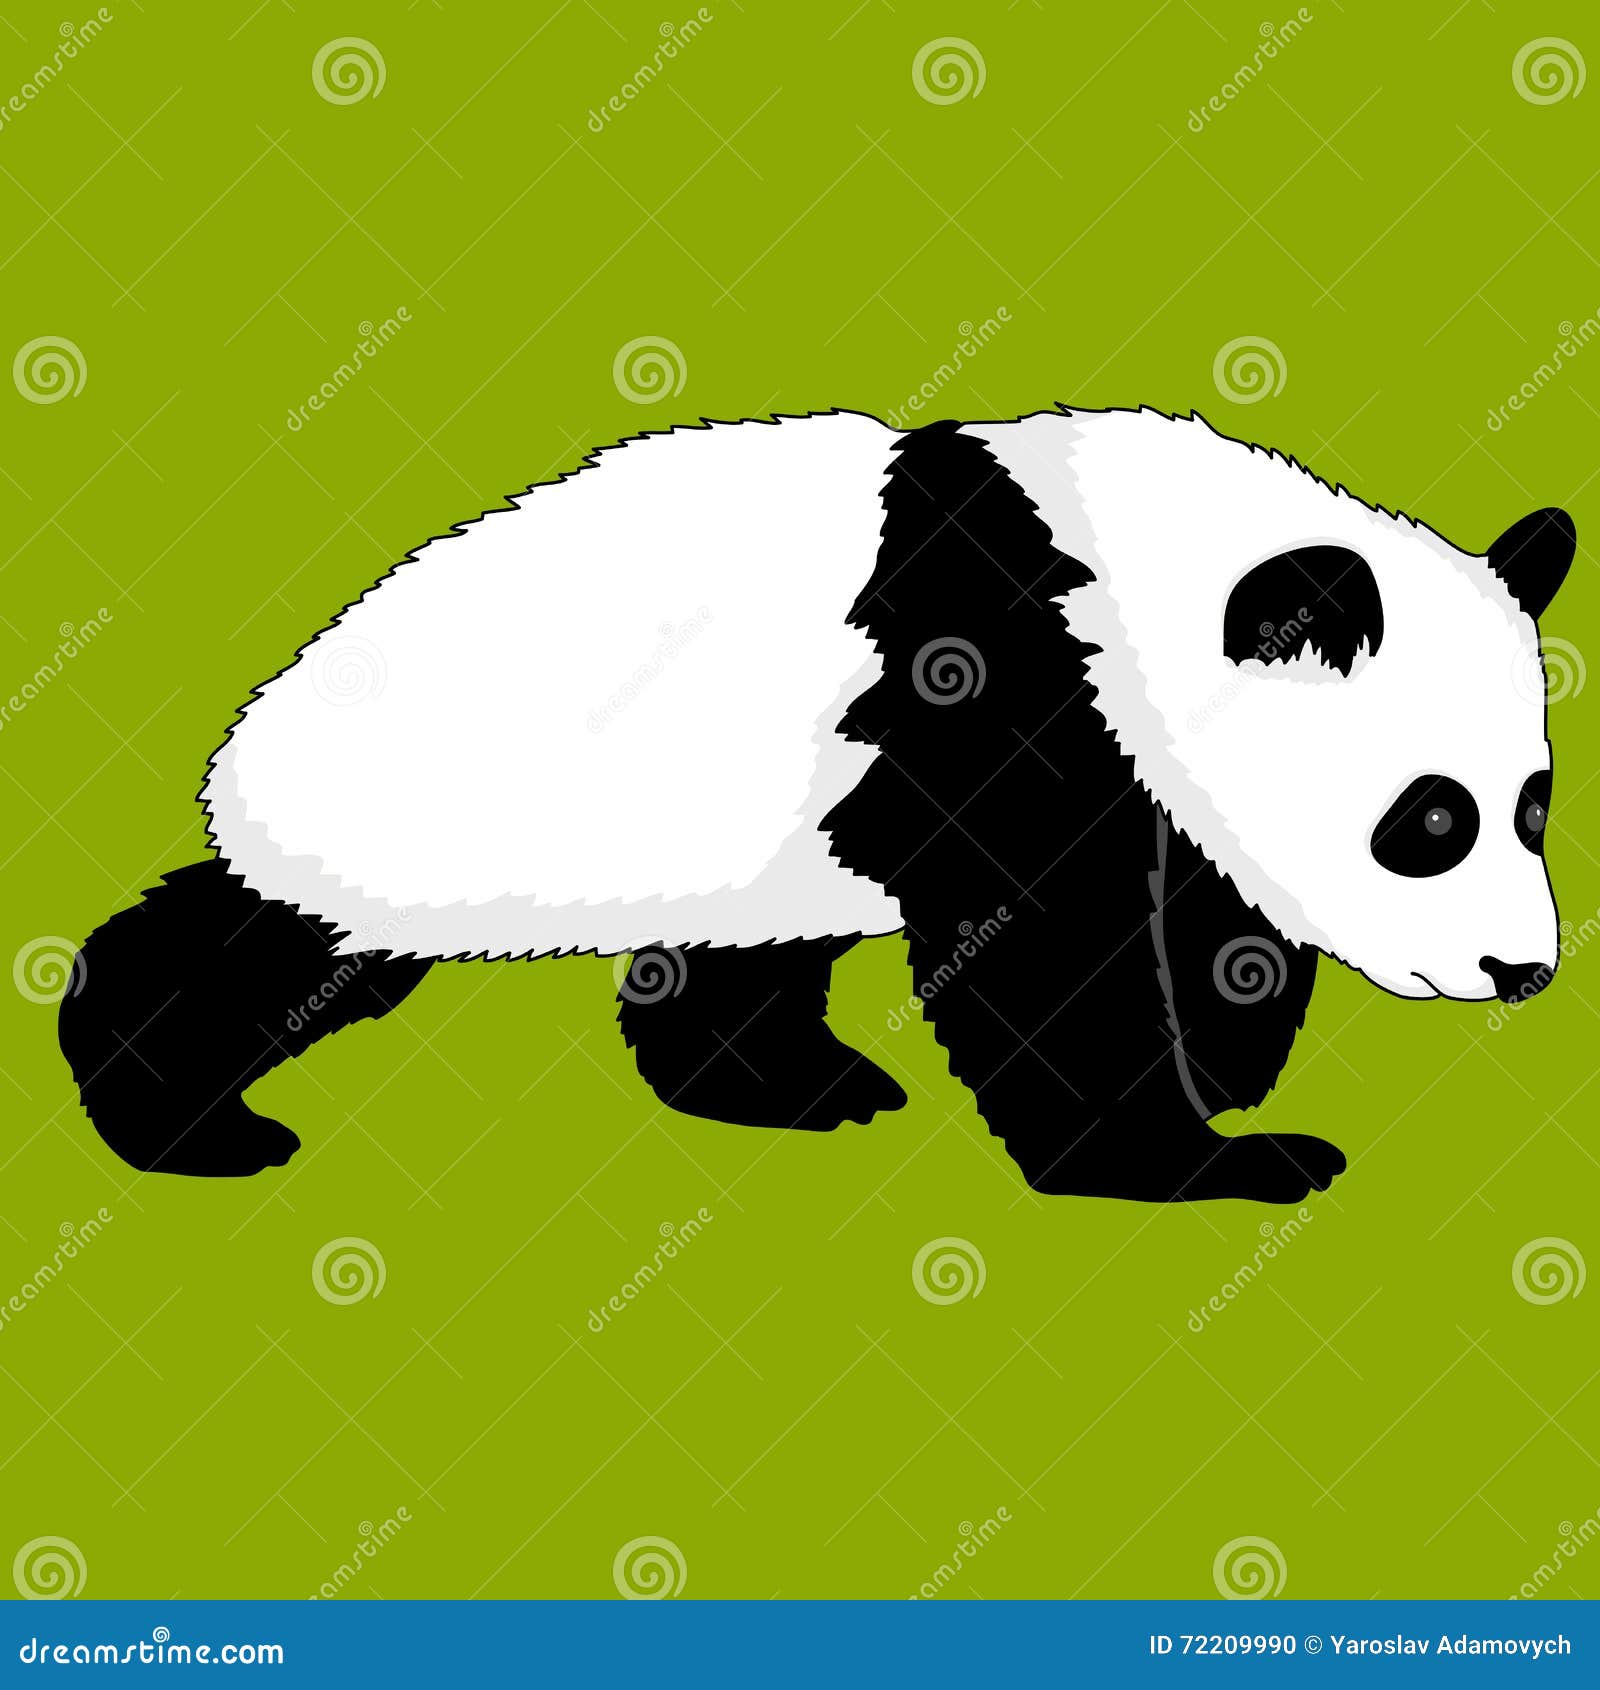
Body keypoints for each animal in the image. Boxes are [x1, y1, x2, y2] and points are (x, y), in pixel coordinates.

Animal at [58, 407, 1574, 1202]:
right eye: (1429, 821)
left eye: (1533, 806)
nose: (1521, 969)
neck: (1135, 567)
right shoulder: (993, 682)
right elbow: (1045, 946)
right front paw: (1202, 1158)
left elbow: (1191, 890)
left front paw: (1236, 1051)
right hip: (404, 812)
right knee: (282, 949)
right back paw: (178, 1117)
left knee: (737, 956)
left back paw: (790, 1088)